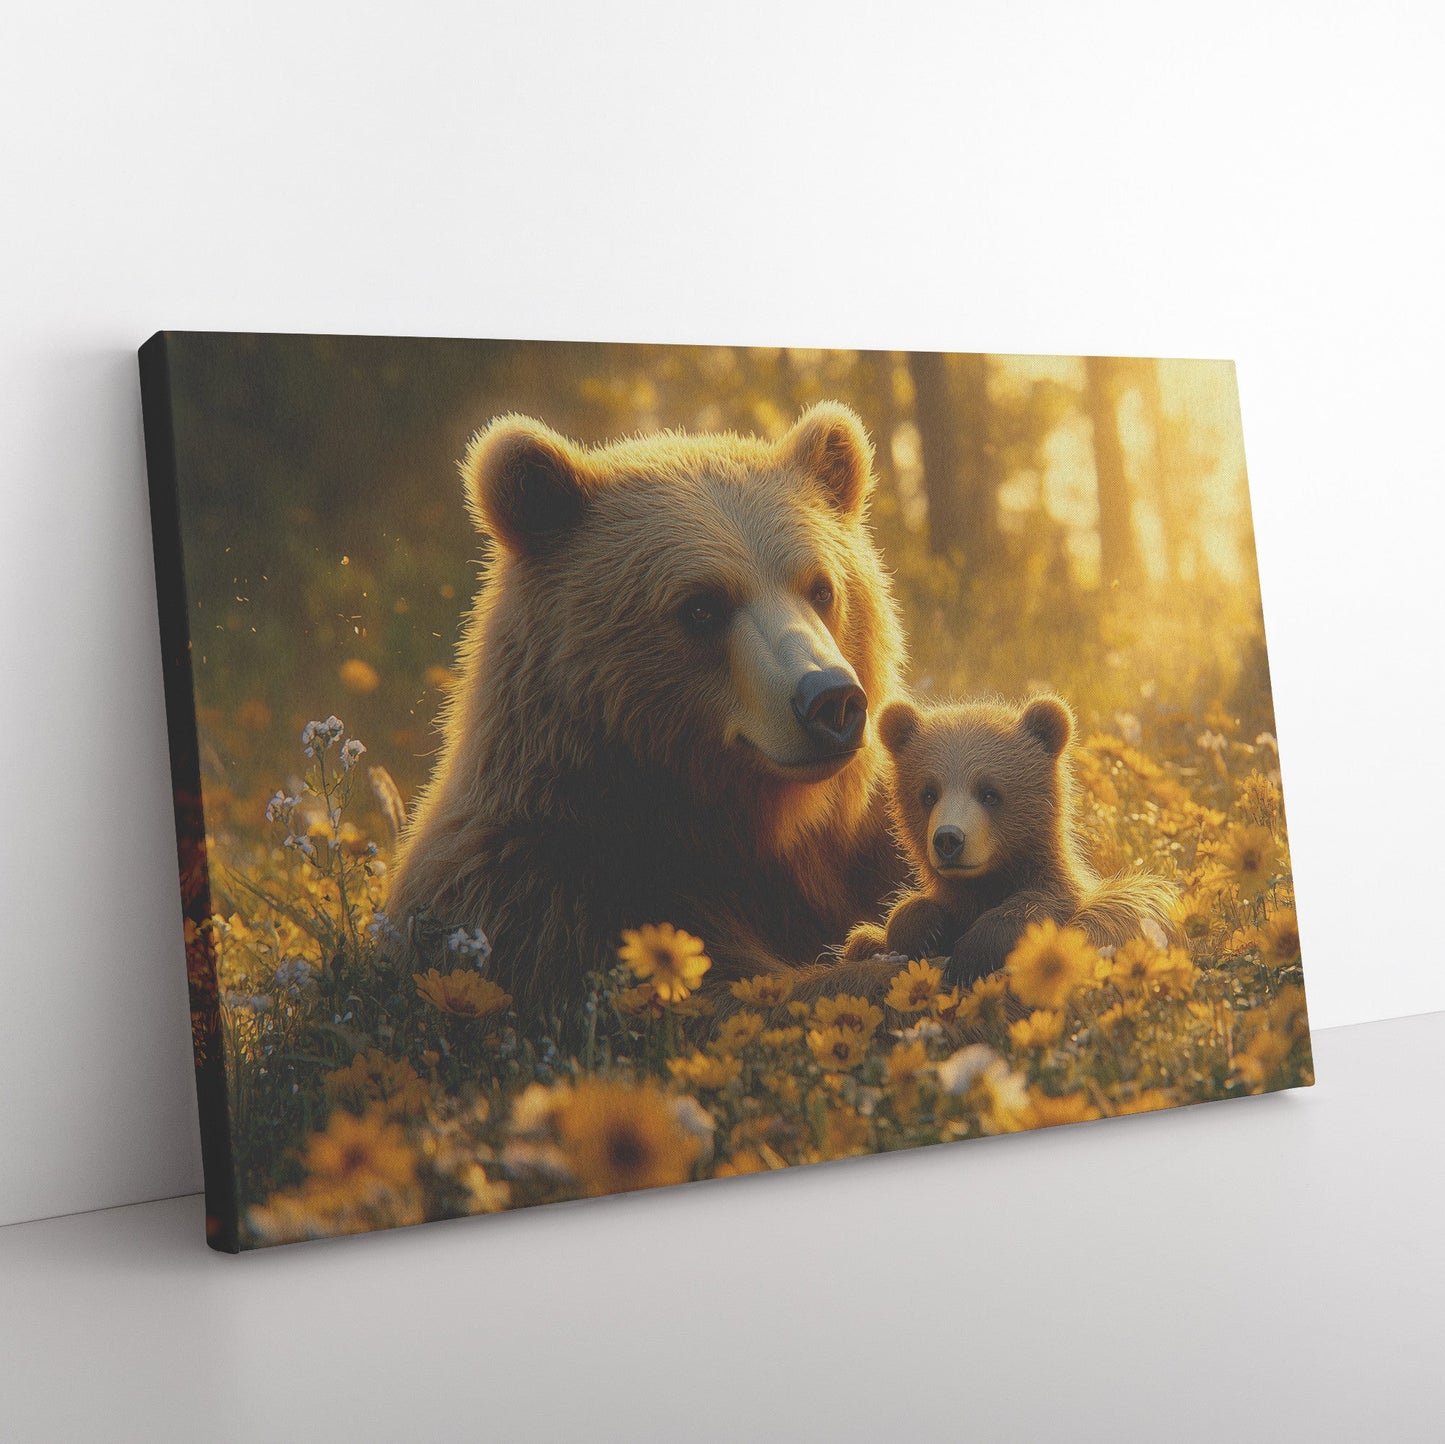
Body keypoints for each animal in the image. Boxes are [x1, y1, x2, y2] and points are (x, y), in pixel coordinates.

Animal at [385, 402, 910, 1027]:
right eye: (702, 606)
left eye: (821, 588)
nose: (830, 699)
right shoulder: (551, 898)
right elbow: (729, 997)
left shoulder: (860, 840)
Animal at [841, 695, 1174, 986]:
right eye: (928, 793)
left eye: (989, 793)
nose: (948, 838)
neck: (987, 883)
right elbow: (881, 931)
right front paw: (919, 930)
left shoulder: (1062, 897)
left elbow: (1036, 908)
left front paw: (969, 959)